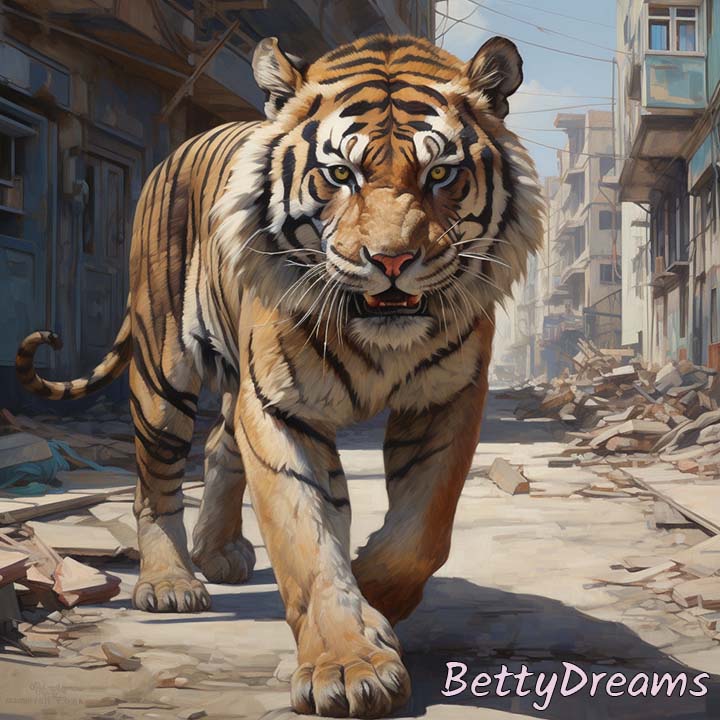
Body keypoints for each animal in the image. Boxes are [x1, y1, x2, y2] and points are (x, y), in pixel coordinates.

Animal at [16, 34, 542, 718]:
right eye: (341, 174)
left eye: (441, 174)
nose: (392, 260)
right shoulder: (281, 407)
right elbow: (306, 536)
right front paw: (348, 663)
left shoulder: (447, 398)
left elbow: (421, 534)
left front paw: (373, 593)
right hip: (163, 371)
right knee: (156, 481)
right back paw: (170, 581)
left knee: (218, 446)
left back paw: (219, 553)